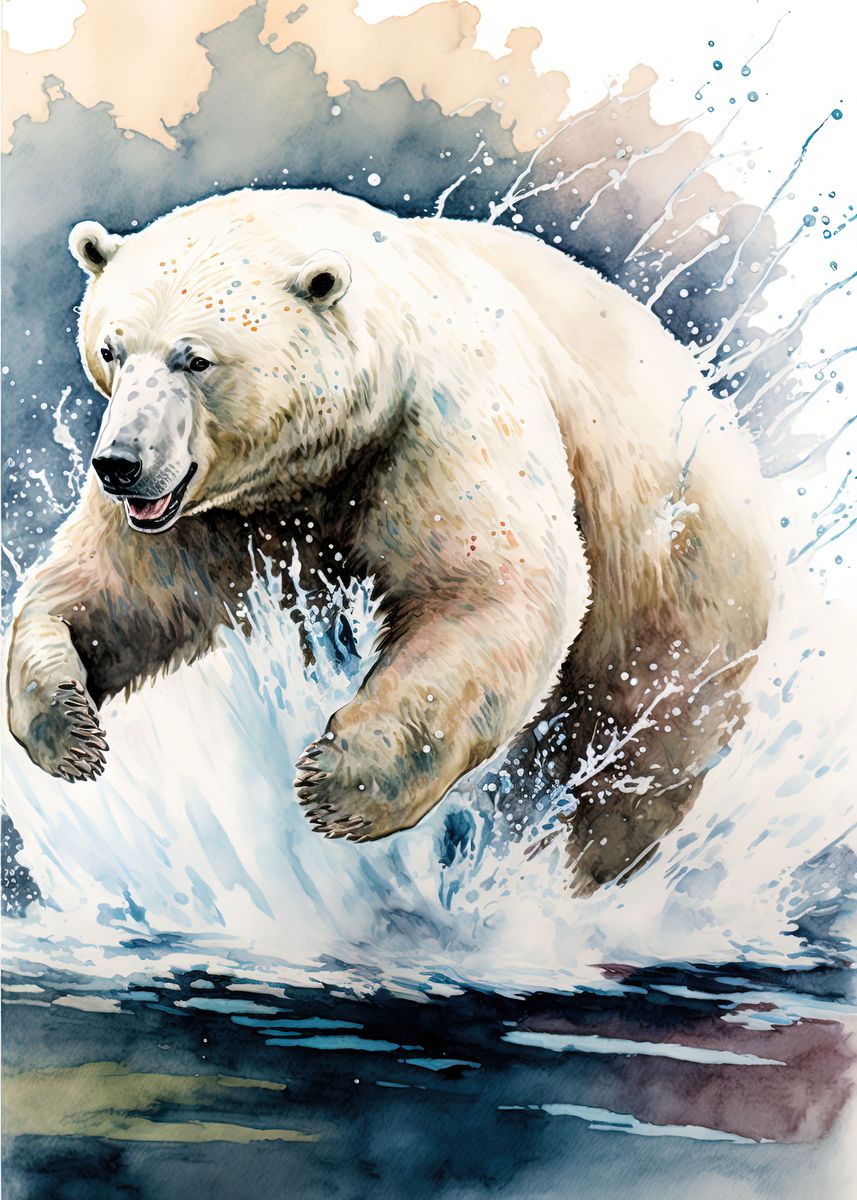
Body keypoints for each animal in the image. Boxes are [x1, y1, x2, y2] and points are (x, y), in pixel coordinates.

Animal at [6, 187, 772, 893]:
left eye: (195, 360)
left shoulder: (434, 422)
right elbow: (116, 595)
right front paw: (67, 725)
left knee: (642, 736)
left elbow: (491, 589)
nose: (119, 463)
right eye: (112, 349)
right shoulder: (208, 510)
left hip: (678, 573)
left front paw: (338, 784)